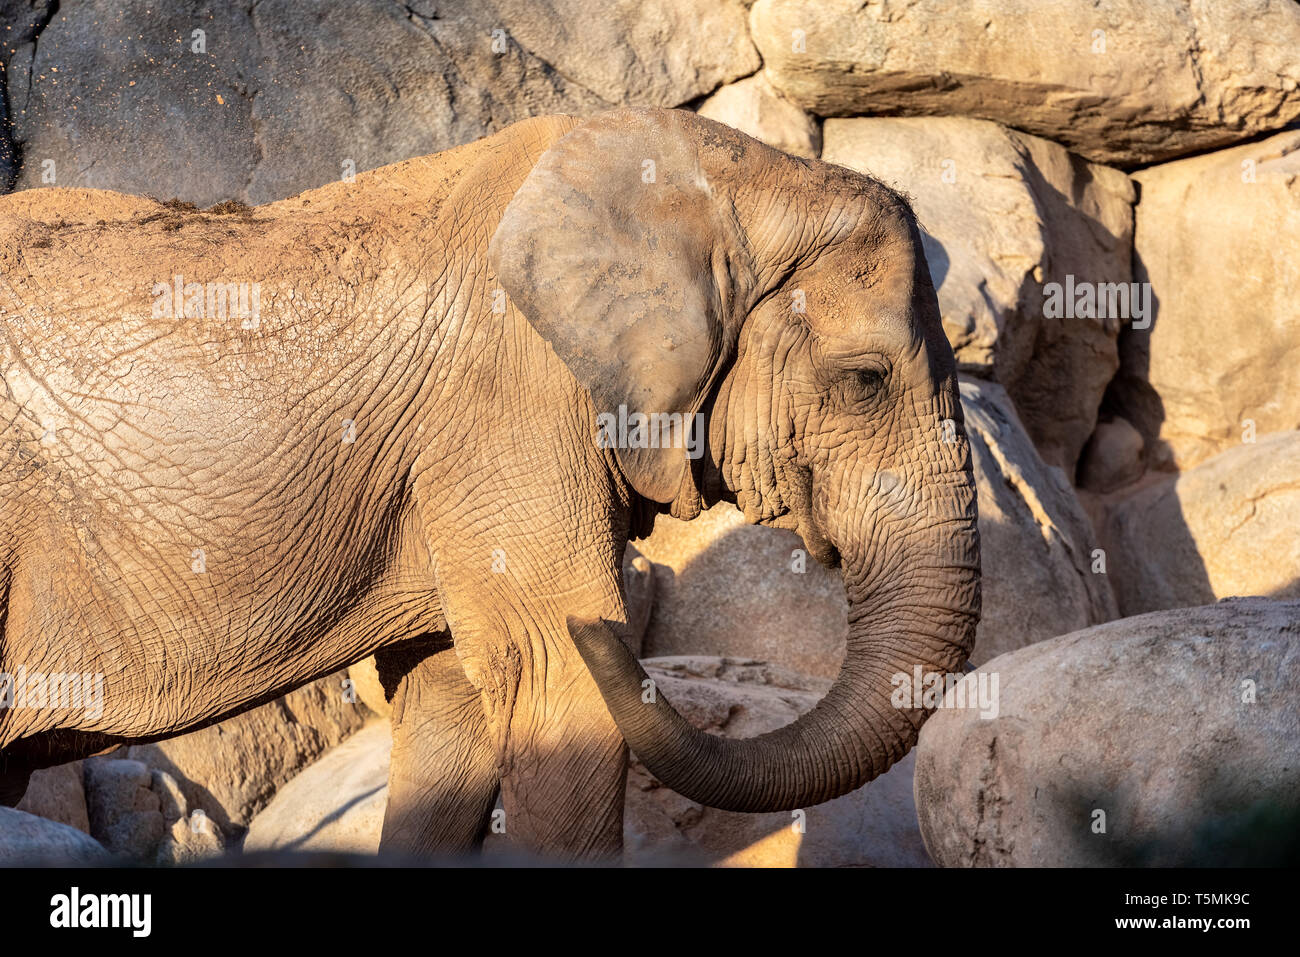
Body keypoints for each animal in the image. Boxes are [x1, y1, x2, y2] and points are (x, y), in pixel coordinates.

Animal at [0, 107, 979, 860]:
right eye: (866, 380)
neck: (729, 173)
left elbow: (451, 697)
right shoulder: (512, 405)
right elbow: (553, 673)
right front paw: (583, 634)